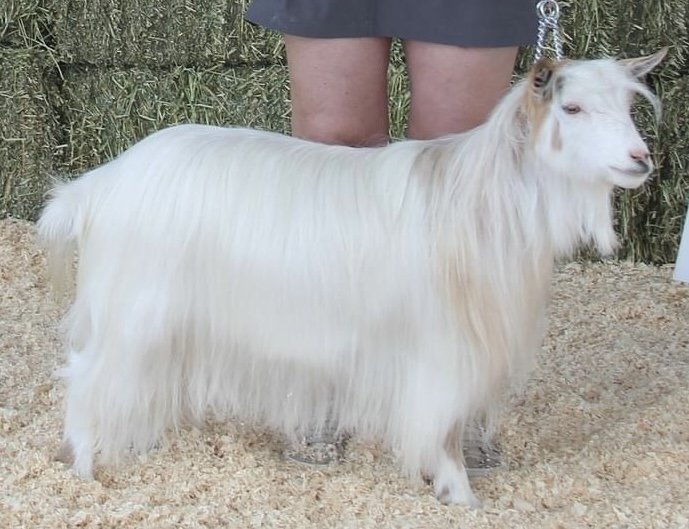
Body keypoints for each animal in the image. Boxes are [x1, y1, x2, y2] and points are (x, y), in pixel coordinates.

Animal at [37, 50, 666, 507]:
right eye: (573, 109)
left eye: (627, 106)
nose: (641, 159)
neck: (475, 200)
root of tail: (98, 184)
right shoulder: (443, 353)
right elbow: (440, 427)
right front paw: (459, 495)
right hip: (131, 315)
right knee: (84, 378)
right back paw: (85, 471)